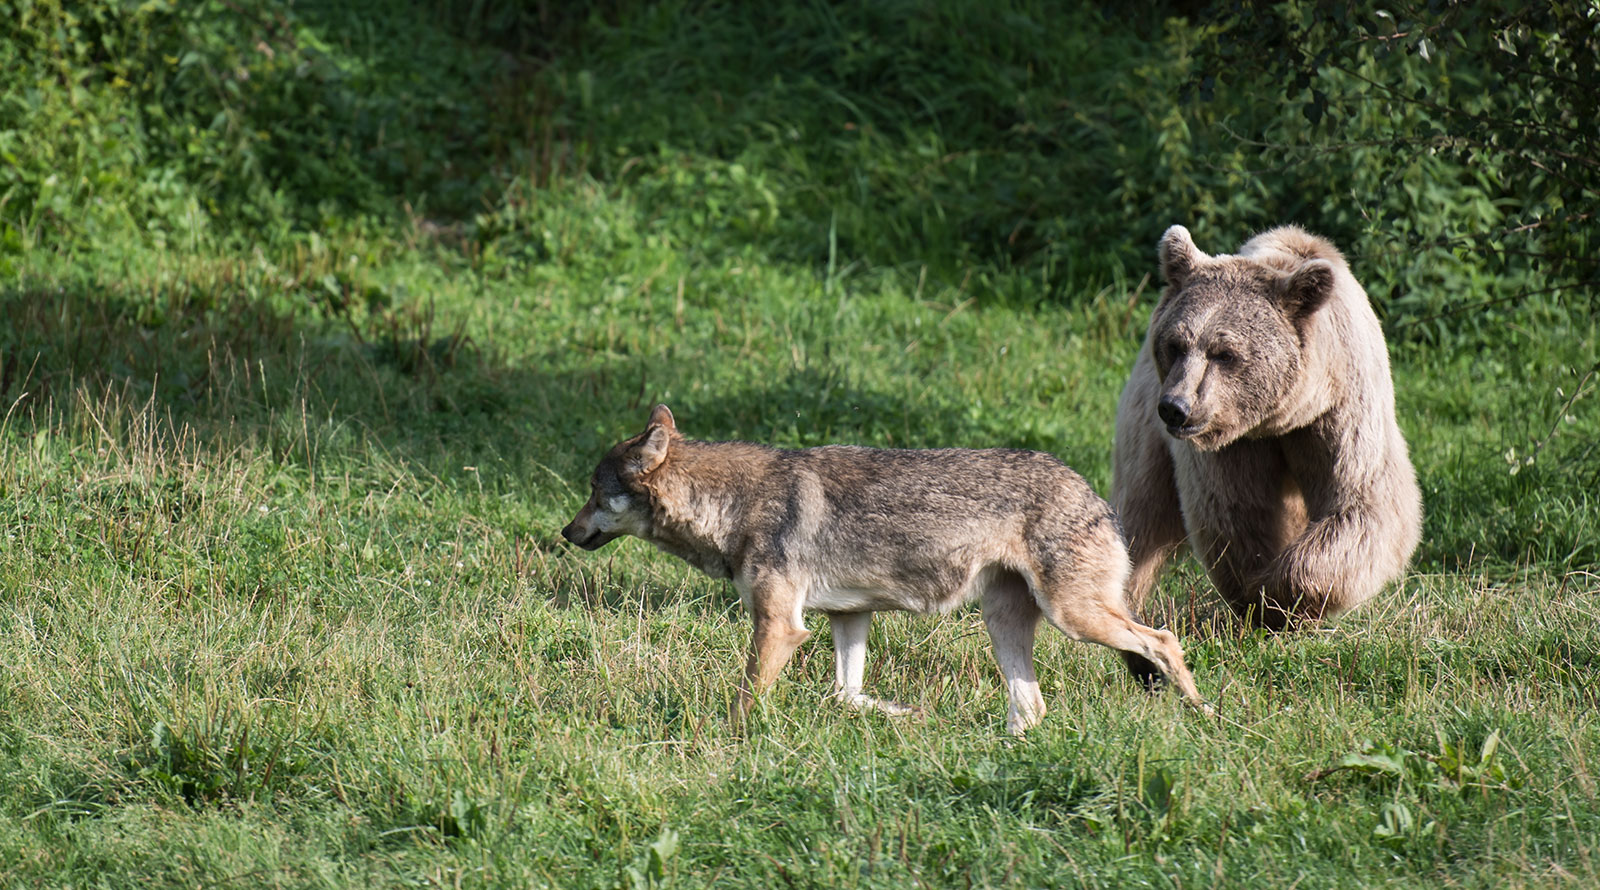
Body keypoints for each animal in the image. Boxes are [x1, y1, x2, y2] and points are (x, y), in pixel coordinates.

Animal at [561, 405, 1207, 734]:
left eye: (594, 491)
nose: (564, 534)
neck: (732, 505)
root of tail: (1095, 495)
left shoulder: (780, 628)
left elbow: (746, 702)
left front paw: (722, 743)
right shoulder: (848, 619)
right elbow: (846, 696)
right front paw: (908, 714)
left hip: (1074, 618)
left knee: (1164, 640)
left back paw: (1205, 715)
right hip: (1005, 625)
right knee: (1033, 706)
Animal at [1111, 224, 1422, 635]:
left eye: (1225, 353)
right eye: (1175, 344)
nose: (1176, 408)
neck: (1280, 419)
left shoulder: (1341, 413)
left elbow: (1359, 503)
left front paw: (1283, 595)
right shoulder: (1231, 445)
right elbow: (1236, 512)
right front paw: (1260, 596)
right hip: (1144, 423)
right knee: (1140, 509)